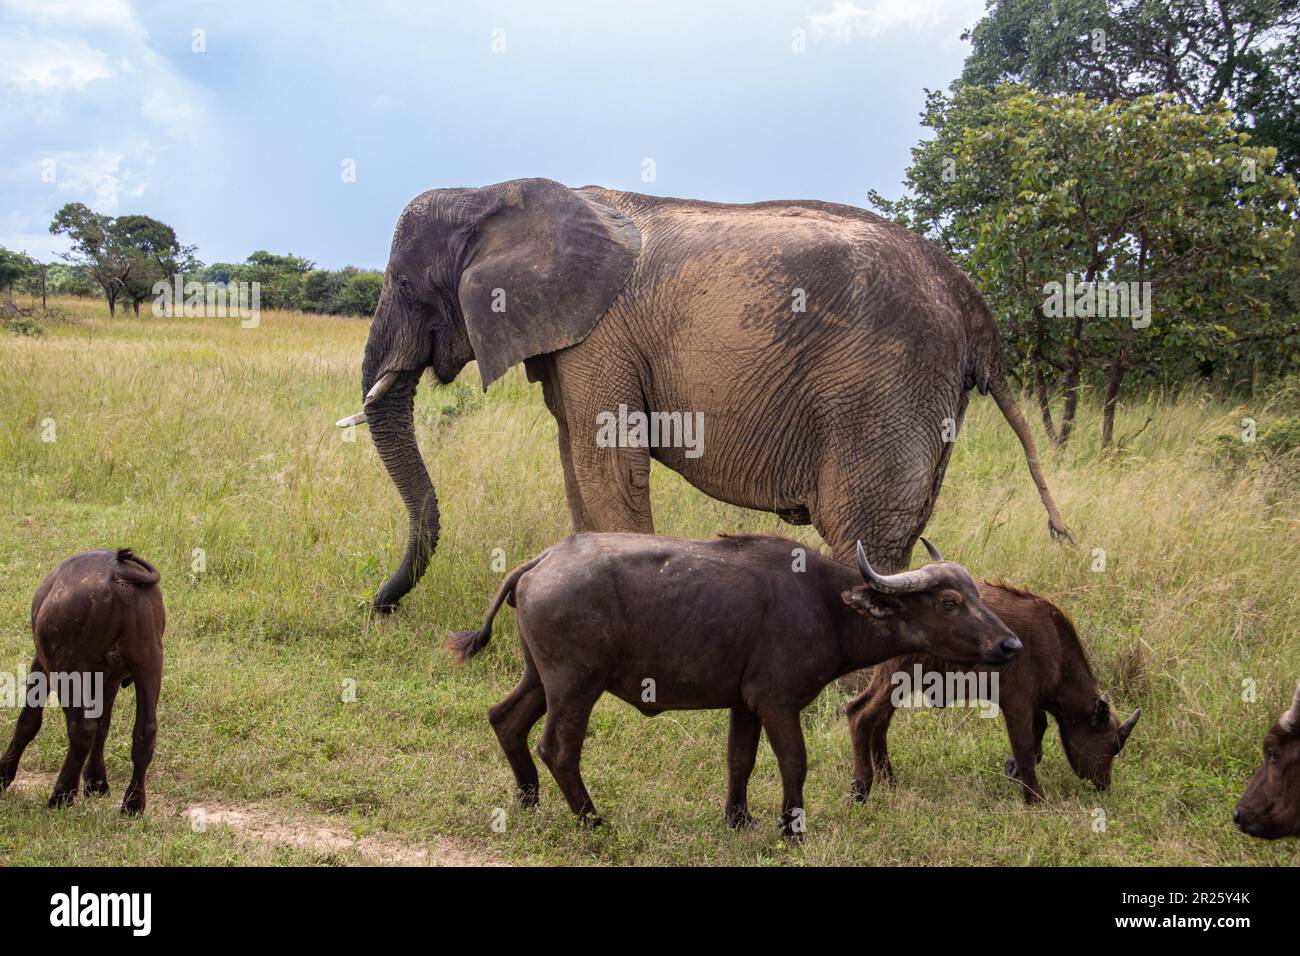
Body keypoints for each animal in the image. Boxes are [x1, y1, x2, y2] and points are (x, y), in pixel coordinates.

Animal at [339, 177, 1070, 612]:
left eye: (402, 284)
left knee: (865, 537)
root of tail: (972, 303)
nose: (378, 606)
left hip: (884, 387)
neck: (495, 194)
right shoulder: (575, 344)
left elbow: (606, 467)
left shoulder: (600, 337)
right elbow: (577, 463)